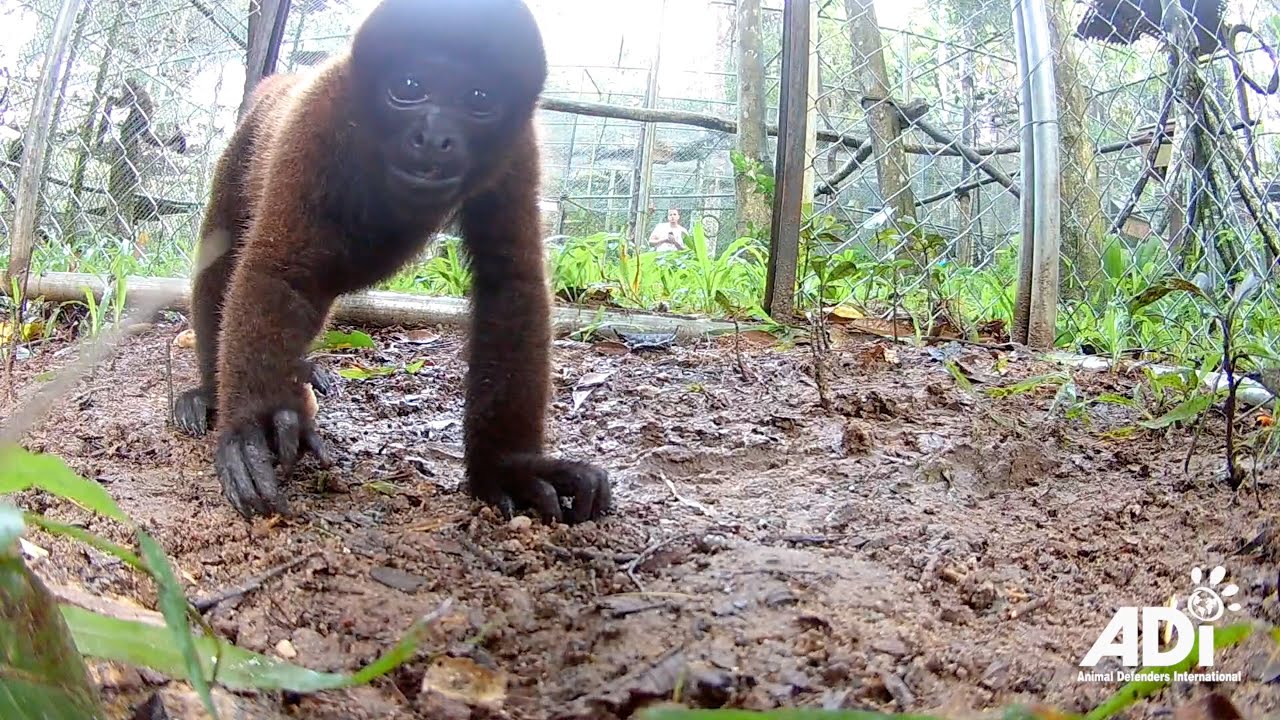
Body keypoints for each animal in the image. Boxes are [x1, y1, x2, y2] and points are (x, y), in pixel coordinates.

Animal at [172, 0, 612, 525]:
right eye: (409, 87)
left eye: (478, 98)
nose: (434, 136)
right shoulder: (320, 116)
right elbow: (281, 269)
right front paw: (258, 422)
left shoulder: (516, 149)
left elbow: (510, 283)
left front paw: (510, 466)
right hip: (245, 141)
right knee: (224, 261)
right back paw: (212, 393)